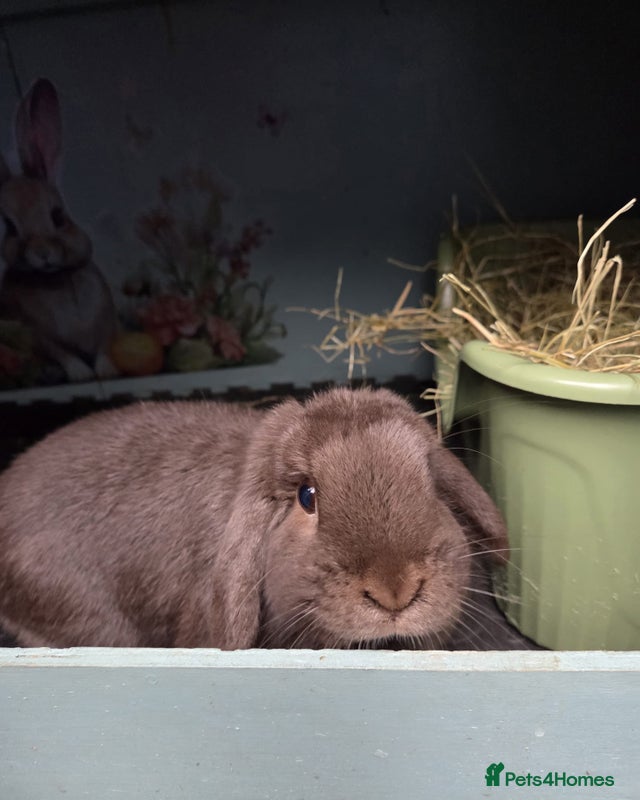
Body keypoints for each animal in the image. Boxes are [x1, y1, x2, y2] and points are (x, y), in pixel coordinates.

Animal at [0, 77, 117, 383]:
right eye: (9, 227)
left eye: (58, 215)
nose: (42, 253)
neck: (59, 279)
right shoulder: (39, 336)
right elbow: (63, 354)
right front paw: (82, 375)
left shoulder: (107, 323)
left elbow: (104, 348)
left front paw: (105, 371)